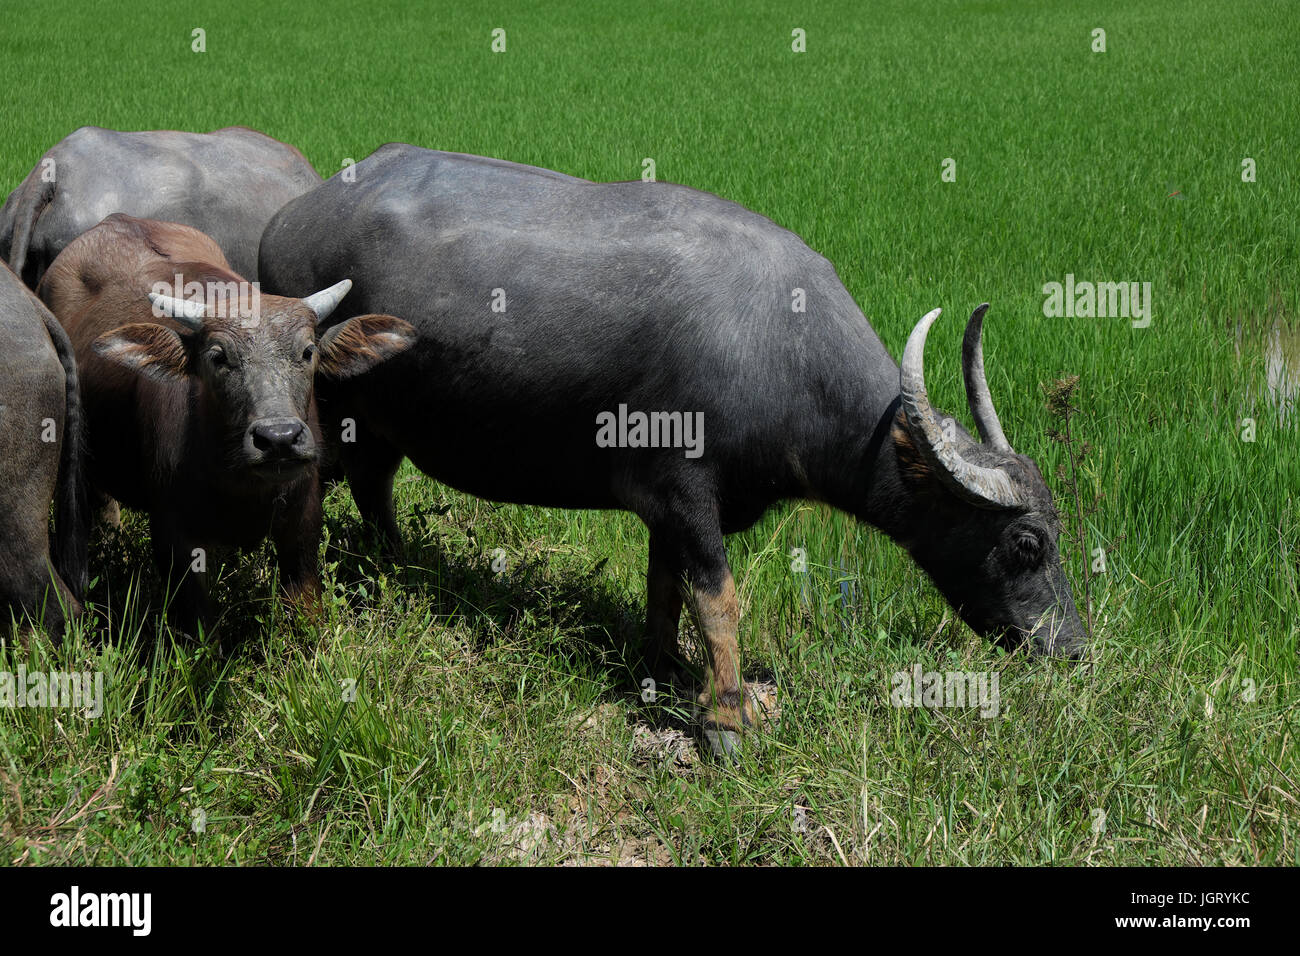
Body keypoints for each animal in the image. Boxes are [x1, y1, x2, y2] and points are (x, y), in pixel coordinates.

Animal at [39, 214, 413, 635]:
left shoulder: (302, 520)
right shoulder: (173, 537)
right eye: (218, 357)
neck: (239, 484)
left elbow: (304, 606)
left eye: (307, 351)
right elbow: (201, 625)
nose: (279, 439)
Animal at [259, 144, 1086, 755]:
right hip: (319, 416)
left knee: (375, 483)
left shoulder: (666, 506)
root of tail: (286, 220)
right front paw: (728, 720)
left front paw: (664, 667)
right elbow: (718, 598)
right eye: (1026, 544)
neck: (781, 351)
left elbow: (666, 586)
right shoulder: (687, 492)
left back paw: (397, 568)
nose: (1073, 650)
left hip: (381, 421)